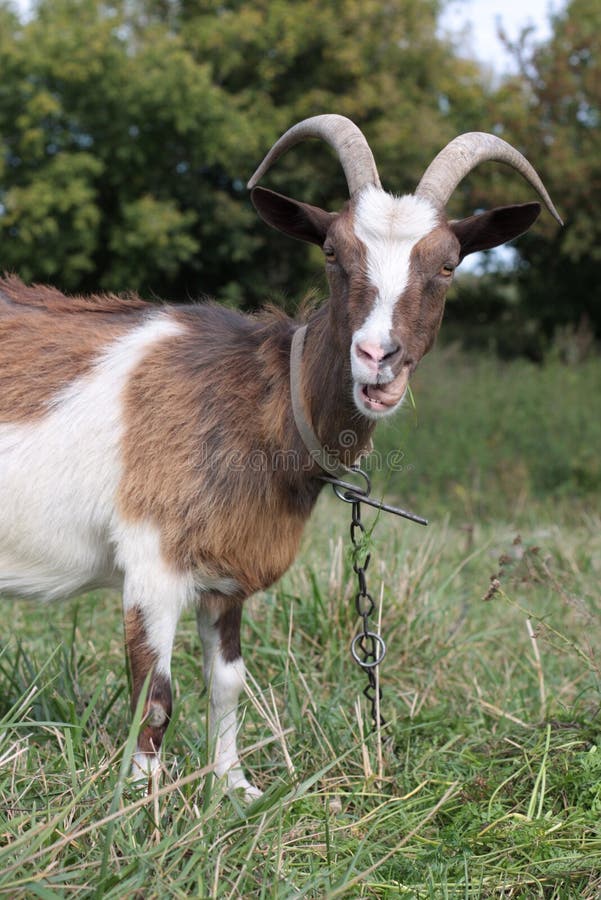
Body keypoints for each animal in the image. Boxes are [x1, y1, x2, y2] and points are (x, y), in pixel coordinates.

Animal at [0, 115, 561, 799]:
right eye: (332, 252)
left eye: (449, 263)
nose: (377, 356)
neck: (262, 400)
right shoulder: (152, 558)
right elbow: (154, 696)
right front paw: (143, 805)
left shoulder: (229, 566)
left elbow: (227, 682)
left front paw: (234, 789)